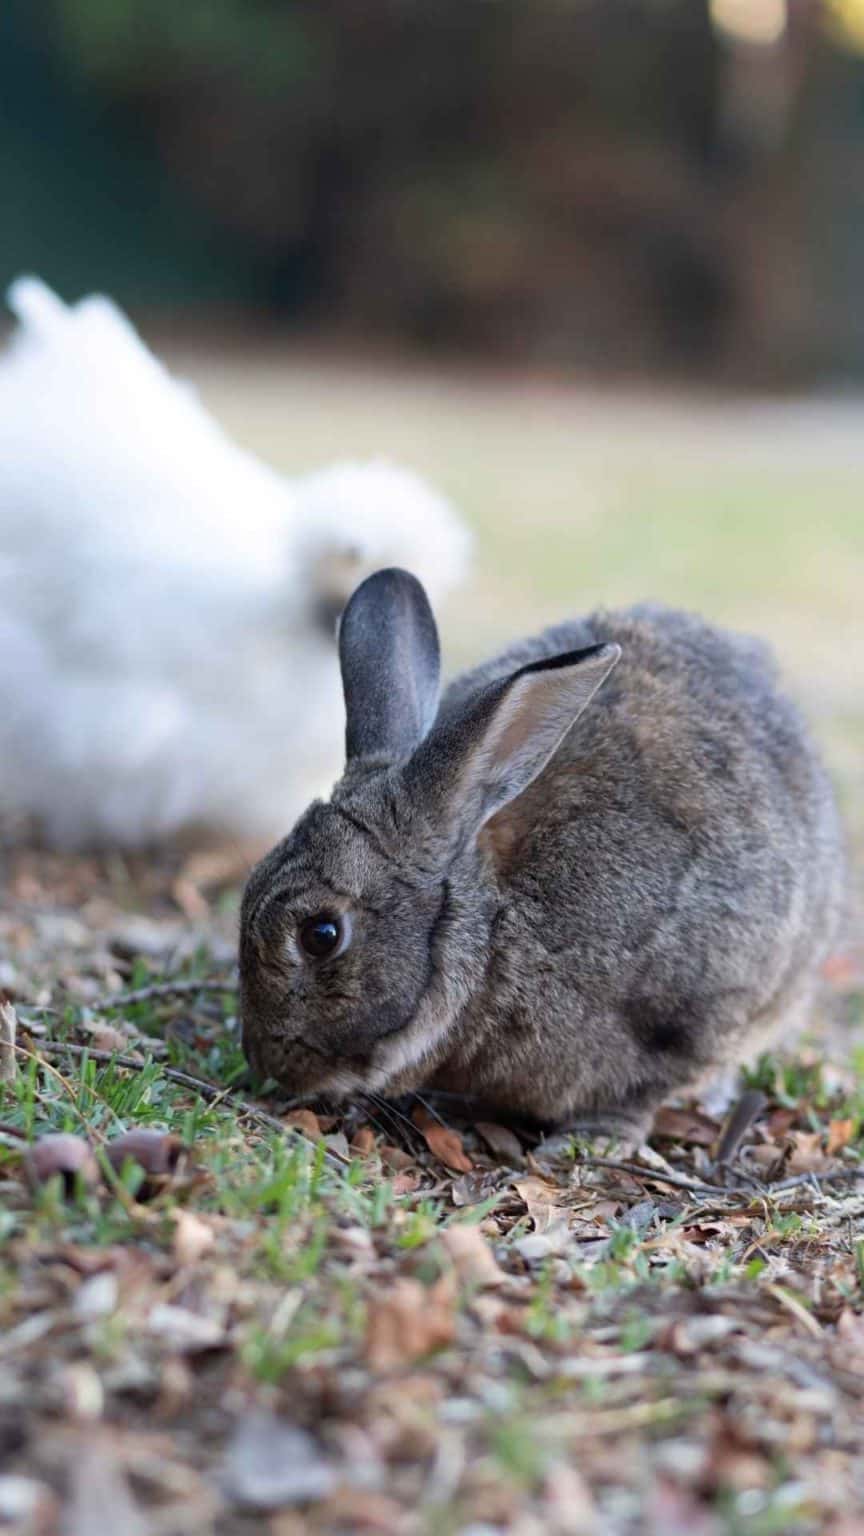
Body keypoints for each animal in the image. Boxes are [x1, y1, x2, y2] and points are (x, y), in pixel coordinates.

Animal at [239, 568, 845, 1136]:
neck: (496, 920)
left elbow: (644, 1090)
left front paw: (602, 1137)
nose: (266, 1061)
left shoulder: (692, 1010)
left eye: (321, 935)